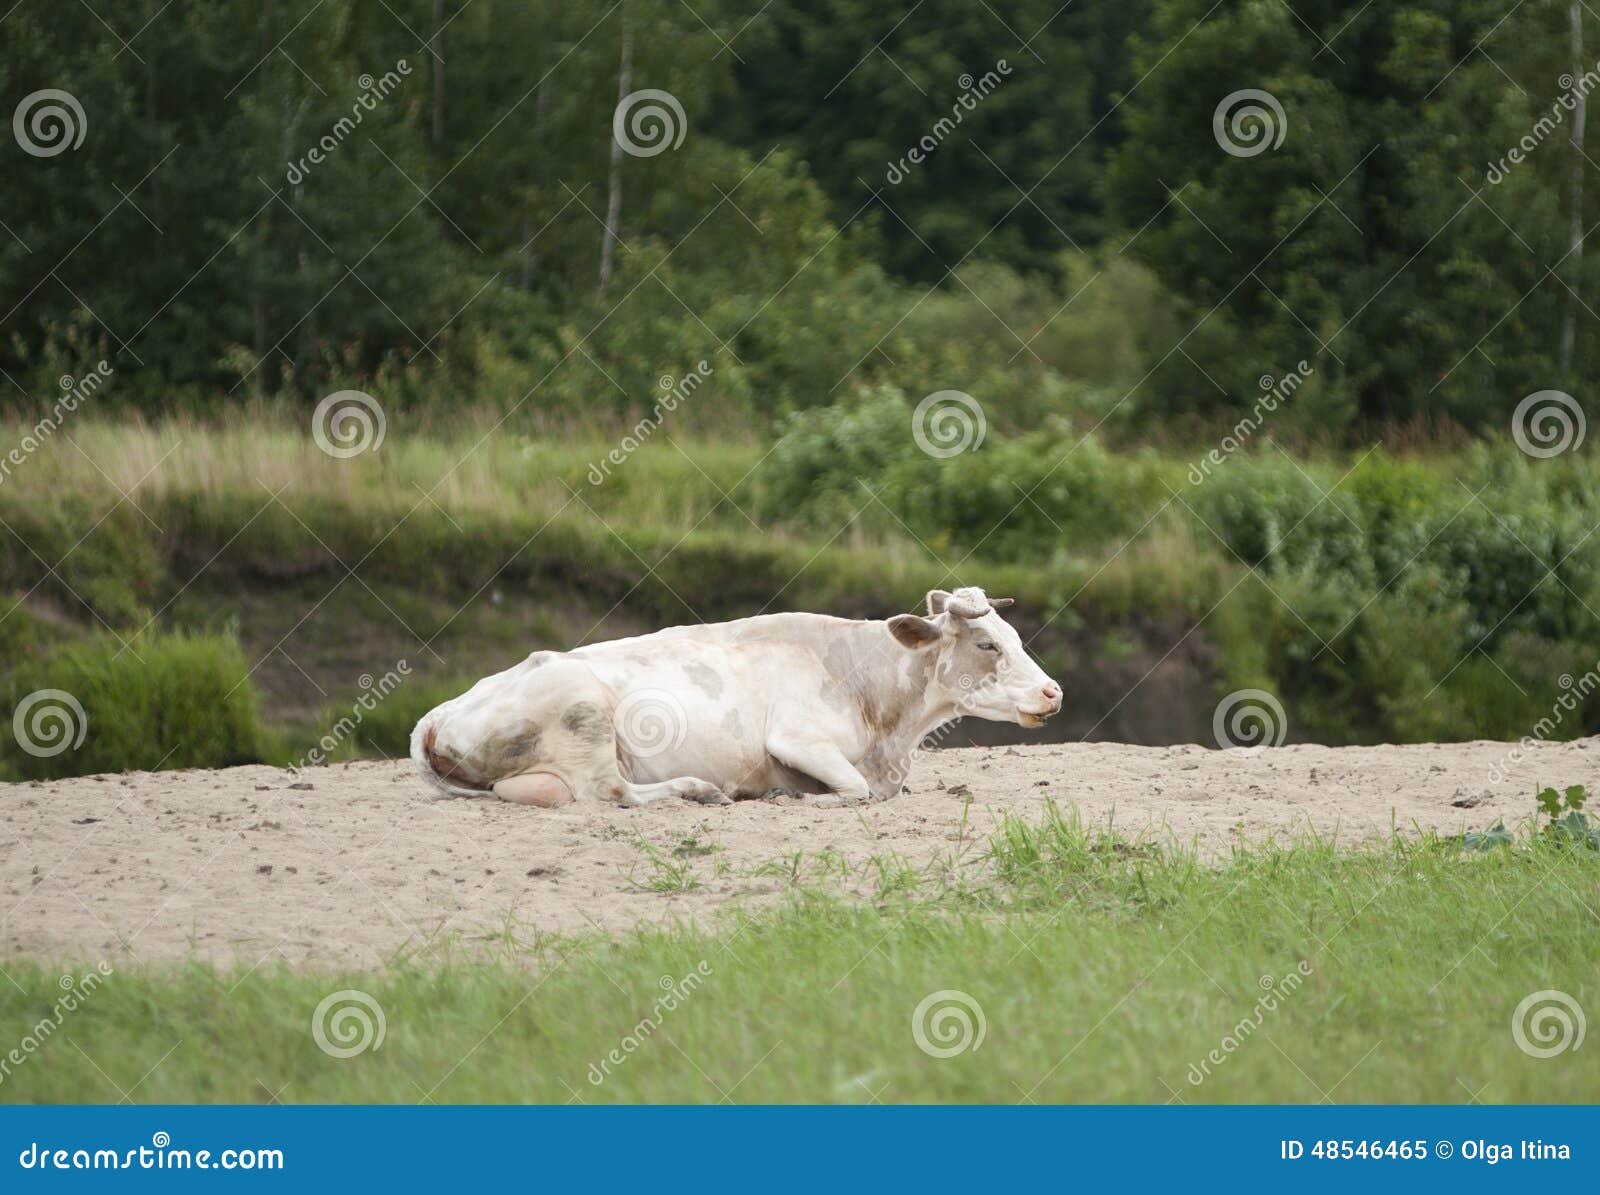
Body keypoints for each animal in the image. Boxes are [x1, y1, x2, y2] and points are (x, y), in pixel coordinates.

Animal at [409, 586, 1062, 808]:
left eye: (1014, 636)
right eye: (986, 644)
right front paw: (797, 797)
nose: (1054, 691)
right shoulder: (795, 738)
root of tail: (438, 715)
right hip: (584, 706)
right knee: (613, 792)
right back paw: (700, 790)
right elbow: (853, 790)